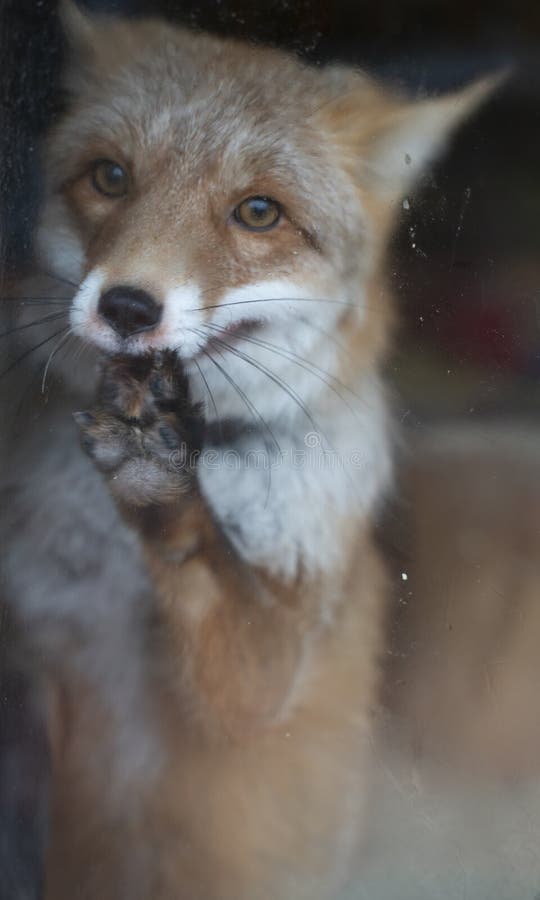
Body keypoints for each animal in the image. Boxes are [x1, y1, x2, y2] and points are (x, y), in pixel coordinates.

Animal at [0, 2, 514, 898]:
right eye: (110, 177)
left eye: (259, 212)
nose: (128, 306)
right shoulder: (36, 650)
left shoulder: (273, 665)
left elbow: (216, 584)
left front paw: (166, 491)